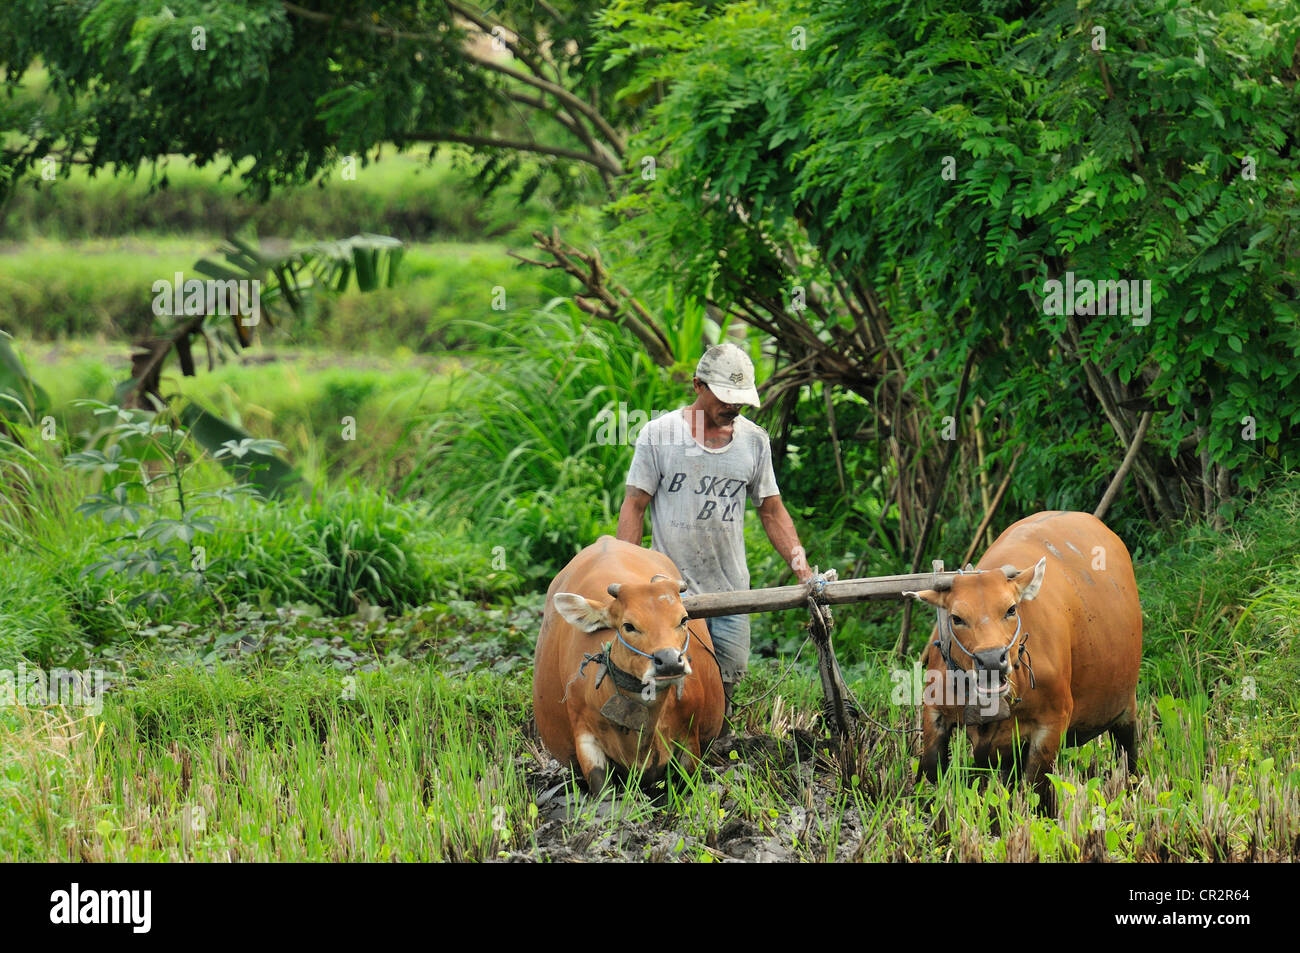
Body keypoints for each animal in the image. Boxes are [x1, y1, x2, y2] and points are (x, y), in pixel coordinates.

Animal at [904, 511, 1142, 815]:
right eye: (956, 618)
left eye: (1011, 609)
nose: (991, 659)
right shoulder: (934, 712)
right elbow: (932, 773)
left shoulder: (1052, 723)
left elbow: (1035, 791)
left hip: (1126, 708)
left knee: (1129, 757)